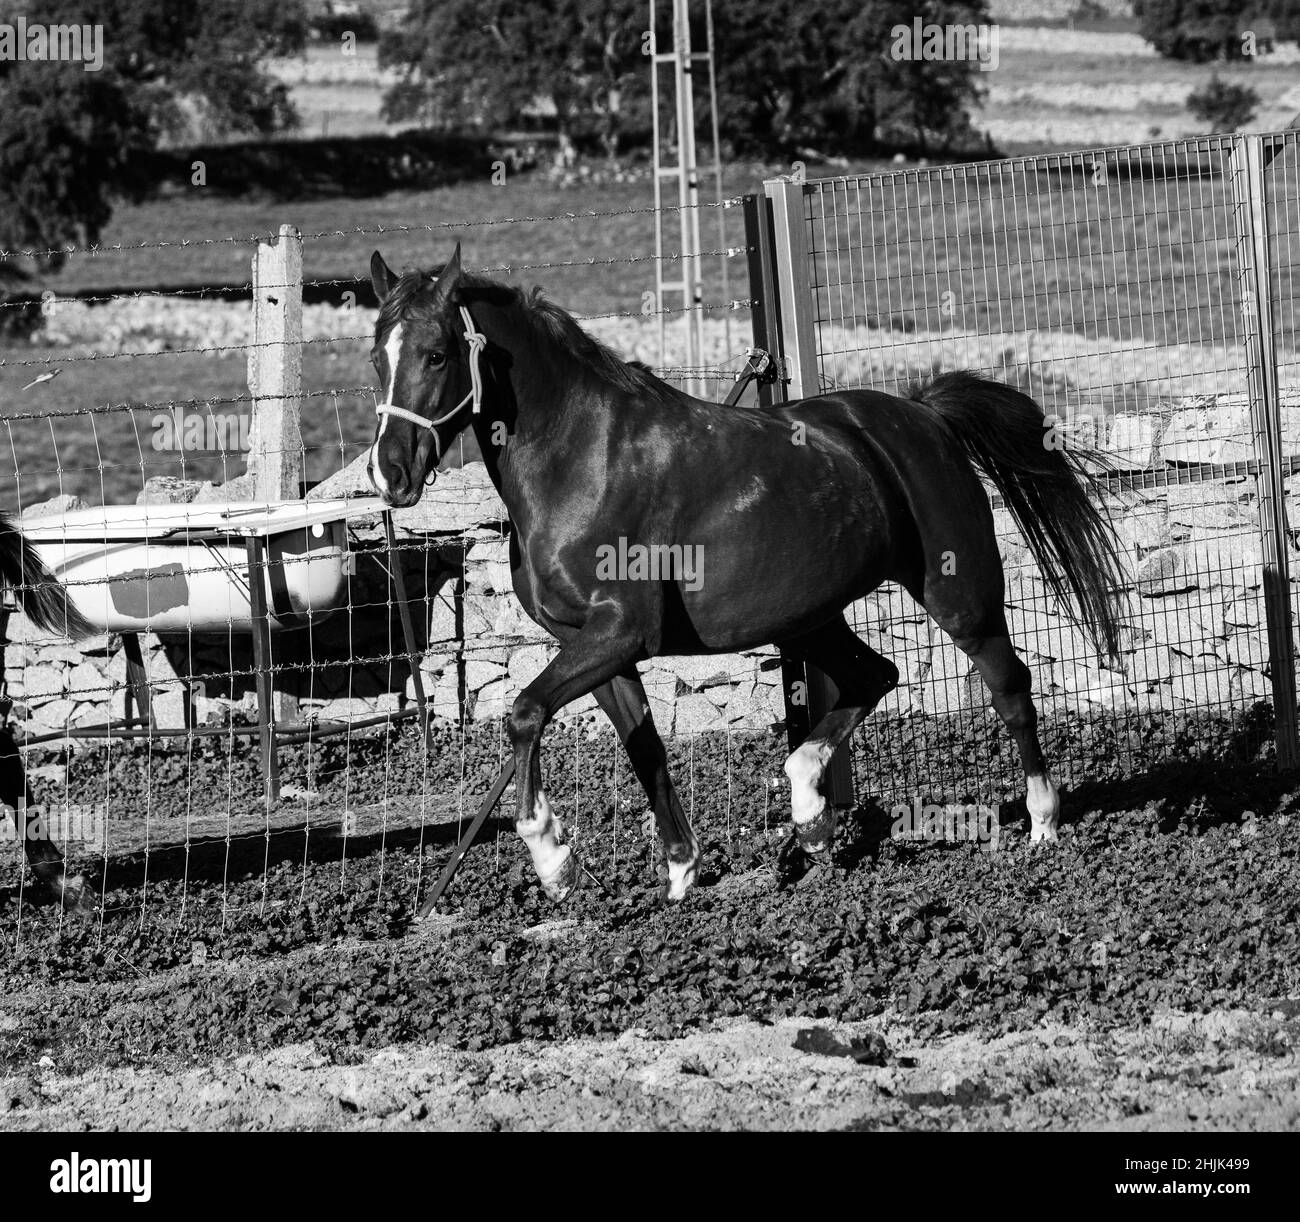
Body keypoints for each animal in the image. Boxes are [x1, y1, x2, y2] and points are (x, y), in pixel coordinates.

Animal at [365, 244, 1125, 904]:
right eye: (377, 357)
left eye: (436, 353)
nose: (389, 474)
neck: (584, 460)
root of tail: (922, 414)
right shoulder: (593, 646)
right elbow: (646, 750)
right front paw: (680, 873)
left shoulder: (619, 632)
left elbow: (524, 713)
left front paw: (554, 860)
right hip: (810, 617)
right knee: (874, 676)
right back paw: (811, 816)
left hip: (959, 593)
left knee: (1010, 687)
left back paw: (1043, 823)